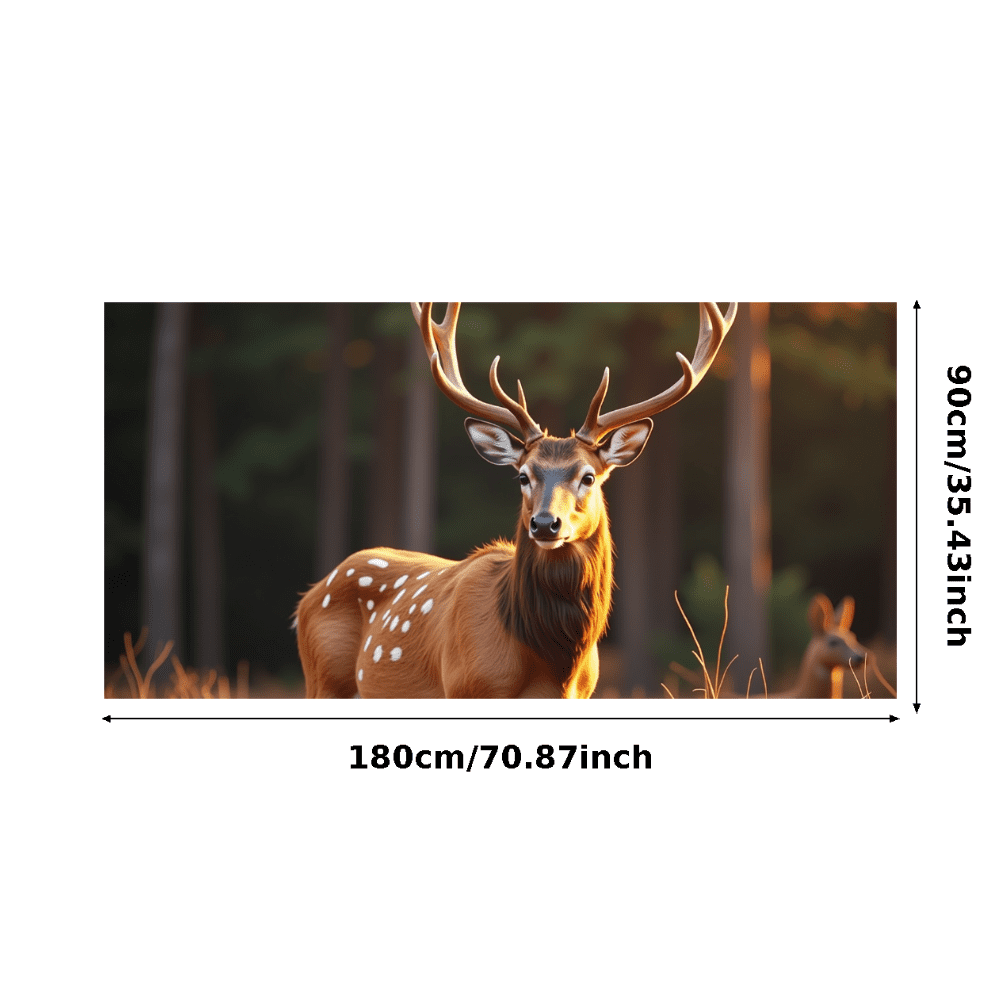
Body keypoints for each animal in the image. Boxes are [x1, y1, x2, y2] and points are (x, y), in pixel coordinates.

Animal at [296, 301, 737, 698]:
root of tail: (307, 597)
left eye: (588, 477)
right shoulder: (464, 688)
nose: (544, 524)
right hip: (323, 681)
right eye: (523, 476)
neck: (552, 669)